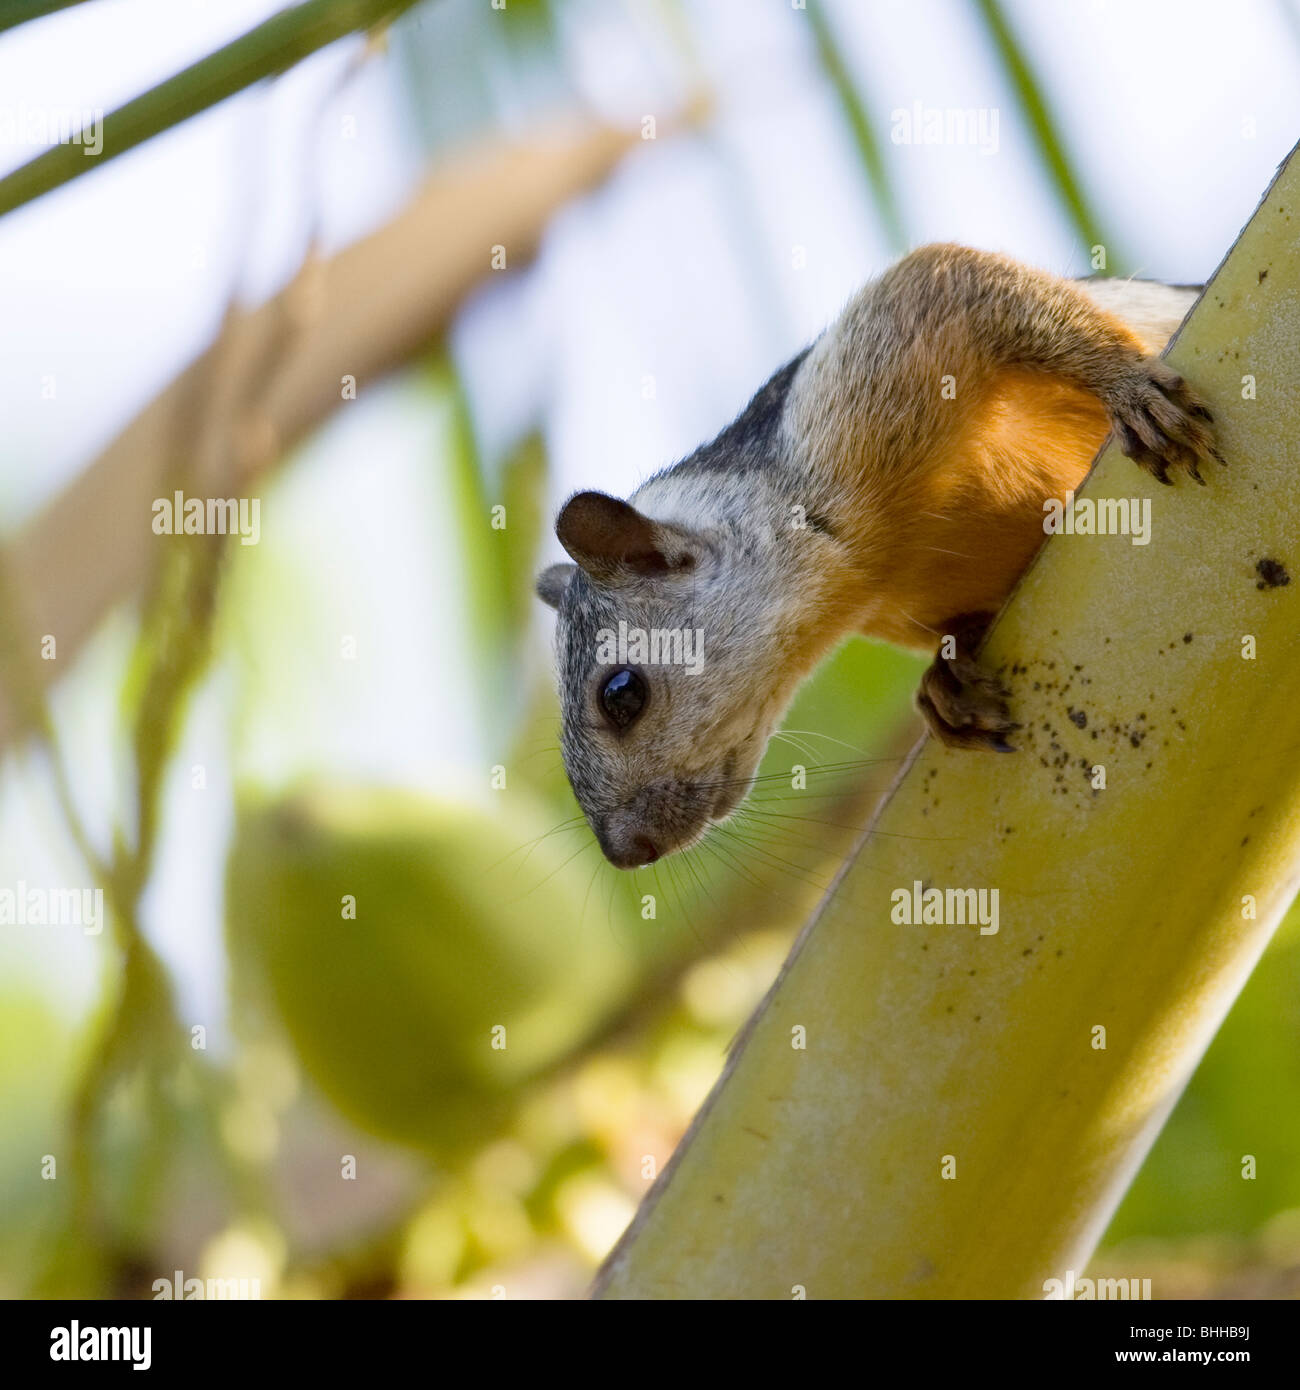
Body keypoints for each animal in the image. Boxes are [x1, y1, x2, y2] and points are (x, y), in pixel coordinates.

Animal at [535, 244, 1218, 869]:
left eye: (622, 693)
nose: (625, 852)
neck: (869, 573)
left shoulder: (886, 344)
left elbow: (973, 284)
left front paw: (1125, 382)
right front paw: (943, 678)